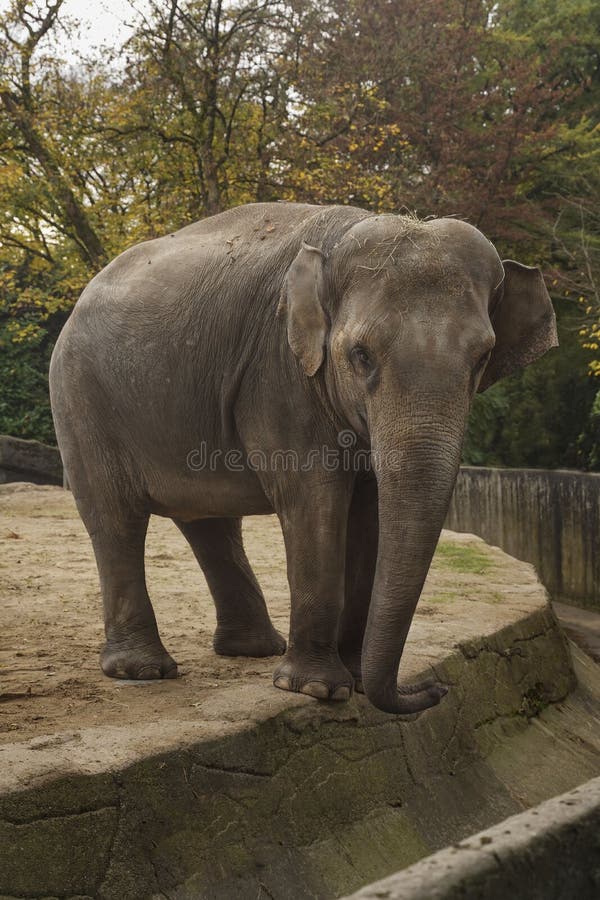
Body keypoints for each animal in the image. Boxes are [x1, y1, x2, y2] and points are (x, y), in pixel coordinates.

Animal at [49, 202, 557, 715]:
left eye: (483, 358)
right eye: (360, 355)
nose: (435, 690)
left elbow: (369, 513)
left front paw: (354, 680)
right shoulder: (279, 376)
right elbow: (315, 501)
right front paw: (317, 689)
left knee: (209, 524)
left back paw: (253, 649)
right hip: (80, 399)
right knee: (115, 519)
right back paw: (144, 671)